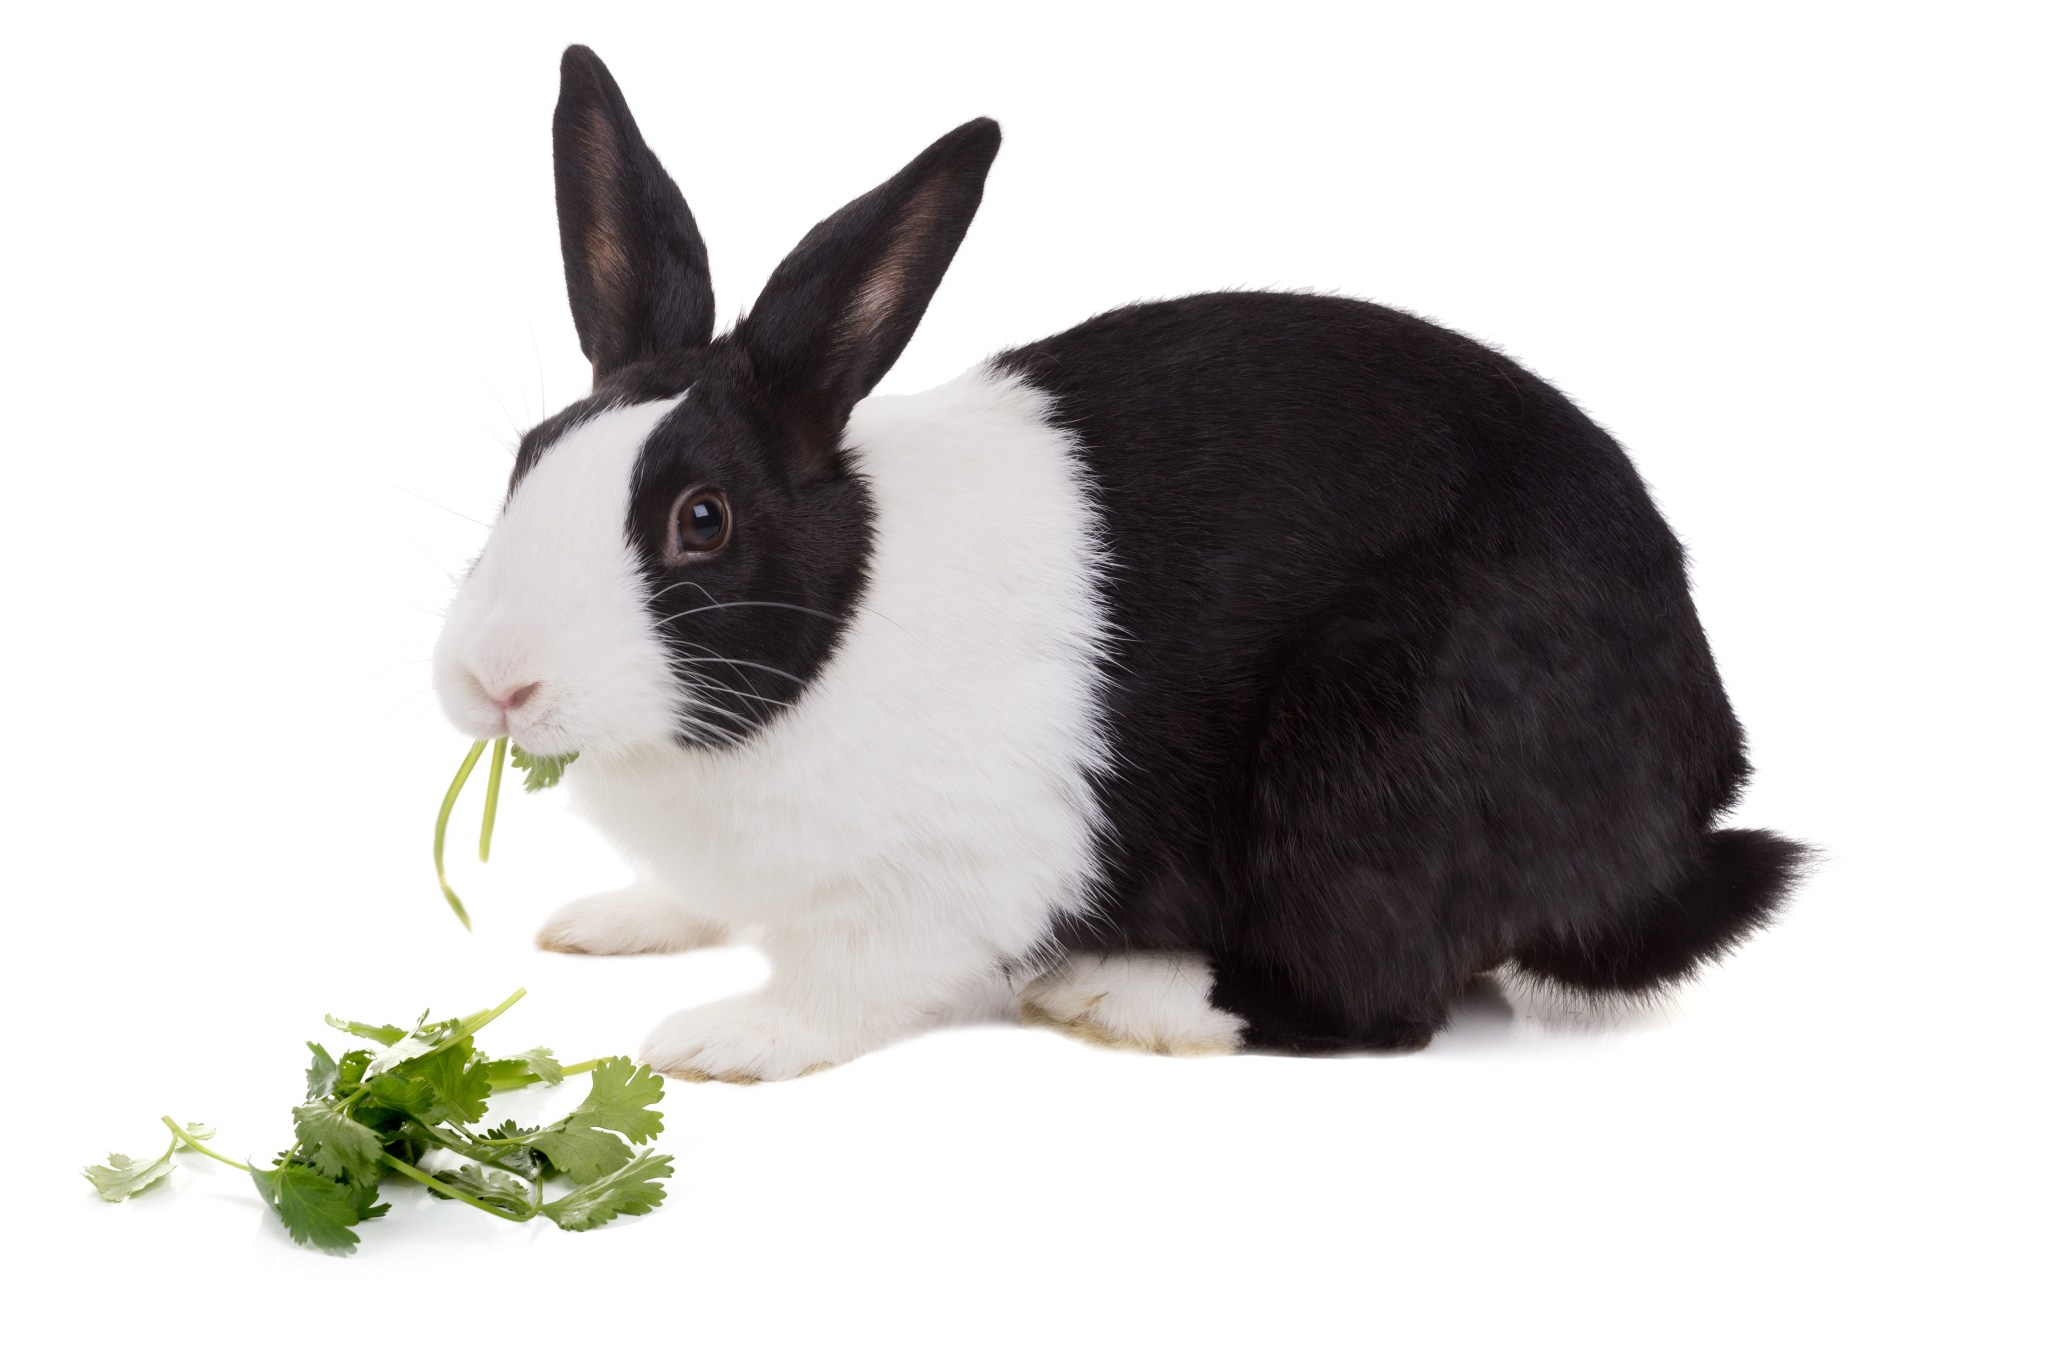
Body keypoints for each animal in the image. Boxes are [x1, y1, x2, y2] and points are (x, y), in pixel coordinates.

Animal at [433, 45, 1809, 1082]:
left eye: (703, 519)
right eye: (526, 460)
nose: (497, 682)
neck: (838, 624)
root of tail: (1680, 811)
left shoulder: (953, 879)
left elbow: (850, 979)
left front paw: (721, 1039)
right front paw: (611, 923)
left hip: (1373, 762)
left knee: (1373, 997)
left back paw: (1118, 995)